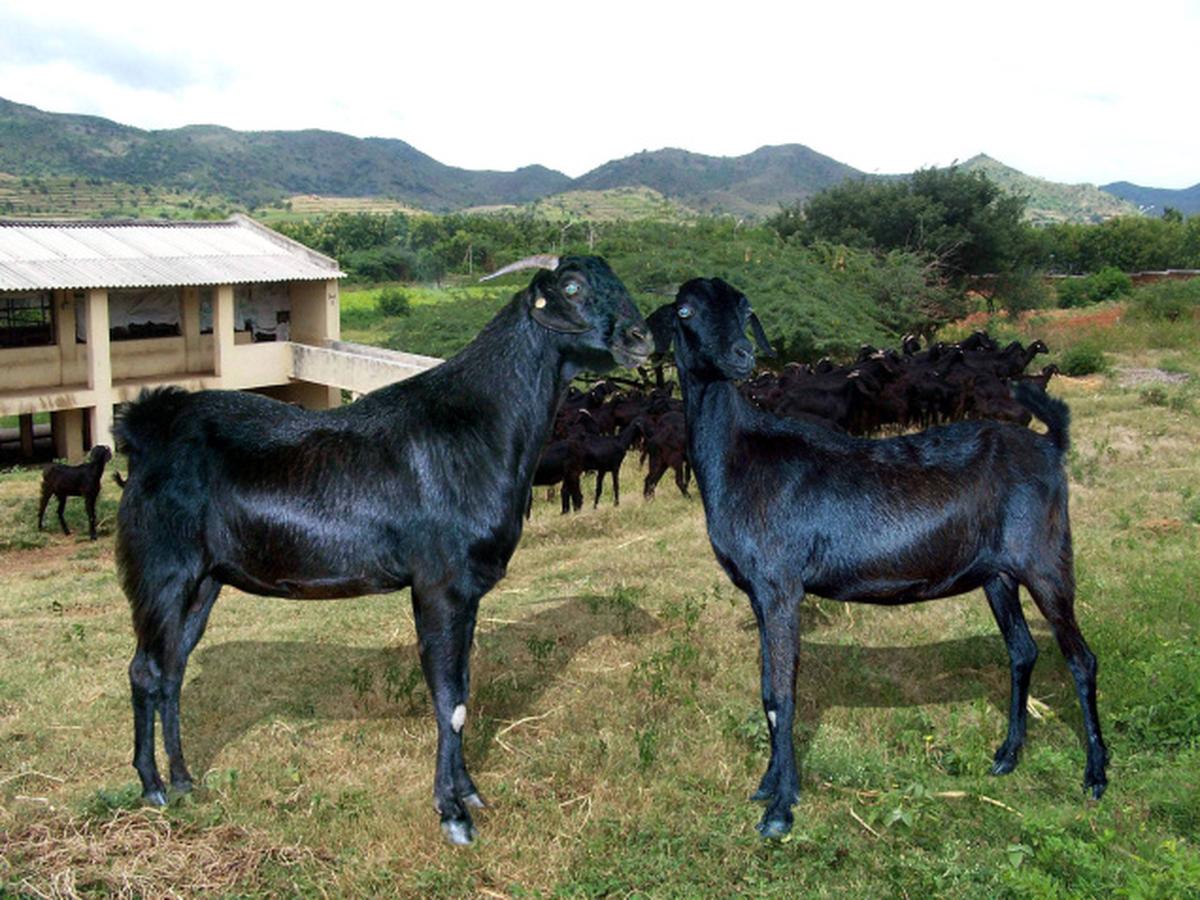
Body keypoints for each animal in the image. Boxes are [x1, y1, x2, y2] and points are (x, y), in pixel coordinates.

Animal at [114, 255, 652, 845]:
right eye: (572, 288)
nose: (641, 336)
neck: (477, 427)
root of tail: (147, 430)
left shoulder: (467, 592)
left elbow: (464, 689)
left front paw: (470, 794)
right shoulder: (439, 583)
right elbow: (449, 699)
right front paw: (452, 814)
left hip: (205, 580)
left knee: (172, 672)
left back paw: (185, 781)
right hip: (161, 569)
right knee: (145, 671)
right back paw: (152, 787)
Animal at [654, 277, 1107, 839]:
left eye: (745, 309)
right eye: (685, 311)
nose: (741, 355)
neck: (742, 454)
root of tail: (1051, 446)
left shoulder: (780, 586)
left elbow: (783, 693)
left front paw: (780, 810)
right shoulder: (759, 594)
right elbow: (767, 693)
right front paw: (766, 786)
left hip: (1046, 559)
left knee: (1081, 658)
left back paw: (1095, 775)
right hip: (997, 573)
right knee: (1022, 651)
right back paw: (1006, 756)